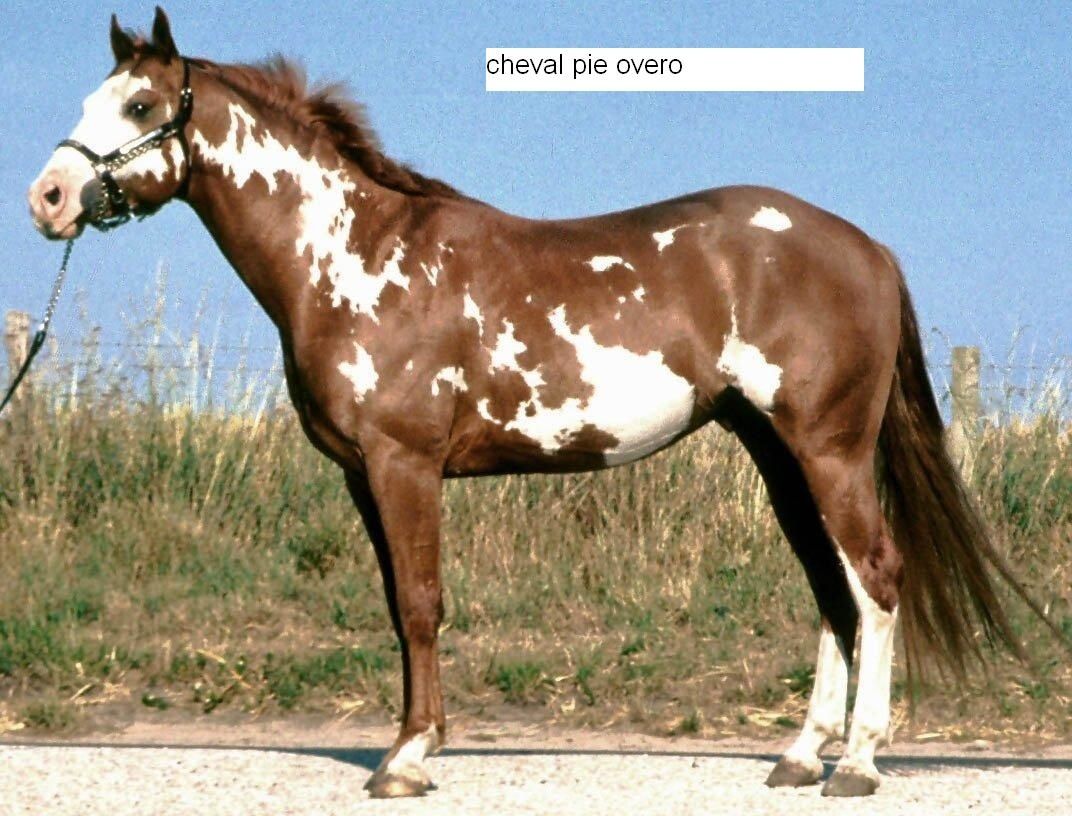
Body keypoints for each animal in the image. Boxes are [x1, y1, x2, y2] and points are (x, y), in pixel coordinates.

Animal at [28, 7, 1037, 799]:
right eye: (88, 103)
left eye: (140, 107)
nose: (48, 198)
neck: (354, 257)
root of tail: (867, 248)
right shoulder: (363, 477)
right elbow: (397, 604)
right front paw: (416, 744)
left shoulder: (403, 465)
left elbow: (421, 603)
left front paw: (408, 759)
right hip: (778, 456)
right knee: (833, 587)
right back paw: (799, 756)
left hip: (828, 450)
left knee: (876, 577)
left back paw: (859, 763)